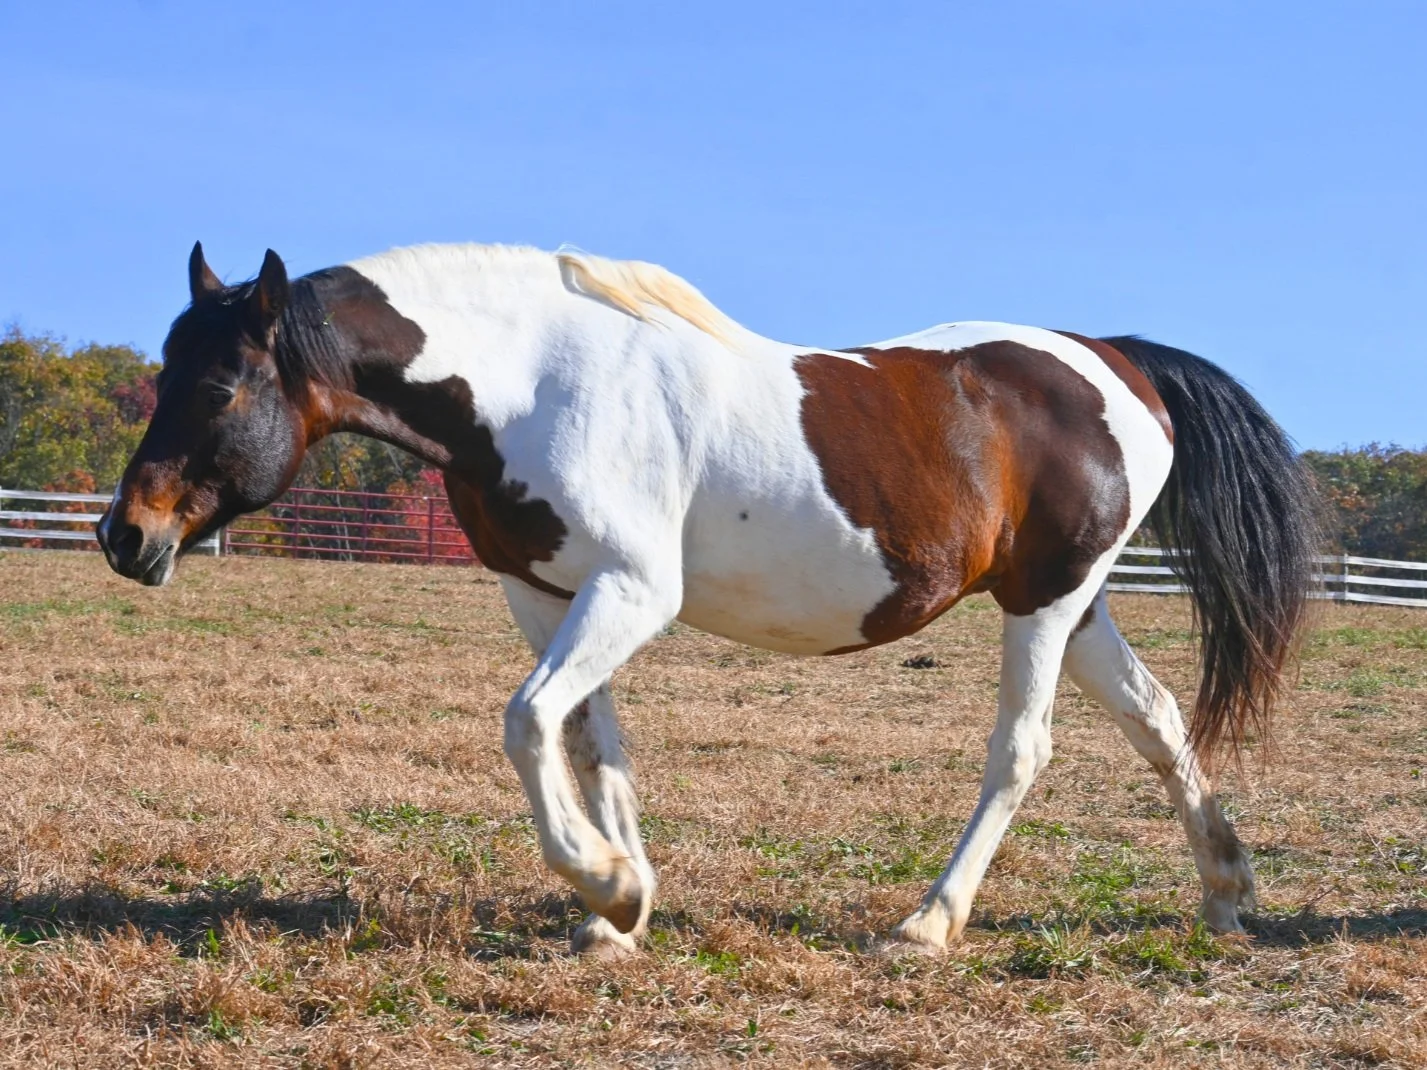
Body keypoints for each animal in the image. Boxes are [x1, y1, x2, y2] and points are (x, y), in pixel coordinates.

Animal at [97, 241, 1317, 958]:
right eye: (162, 372)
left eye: (220, 384)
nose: (125, 535)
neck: (535, 382)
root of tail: (1117, 361)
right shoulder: (543, 593)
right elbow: (591, 743)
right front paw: (621, 908)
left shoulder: (630, 592)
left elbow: (526, 722)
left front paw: (602, 882)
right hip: (1070, 602)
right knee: (1157, 719)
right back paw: (1223, 891)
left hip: (1046, 604)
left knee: (1020, 752)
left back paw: (926, 922)